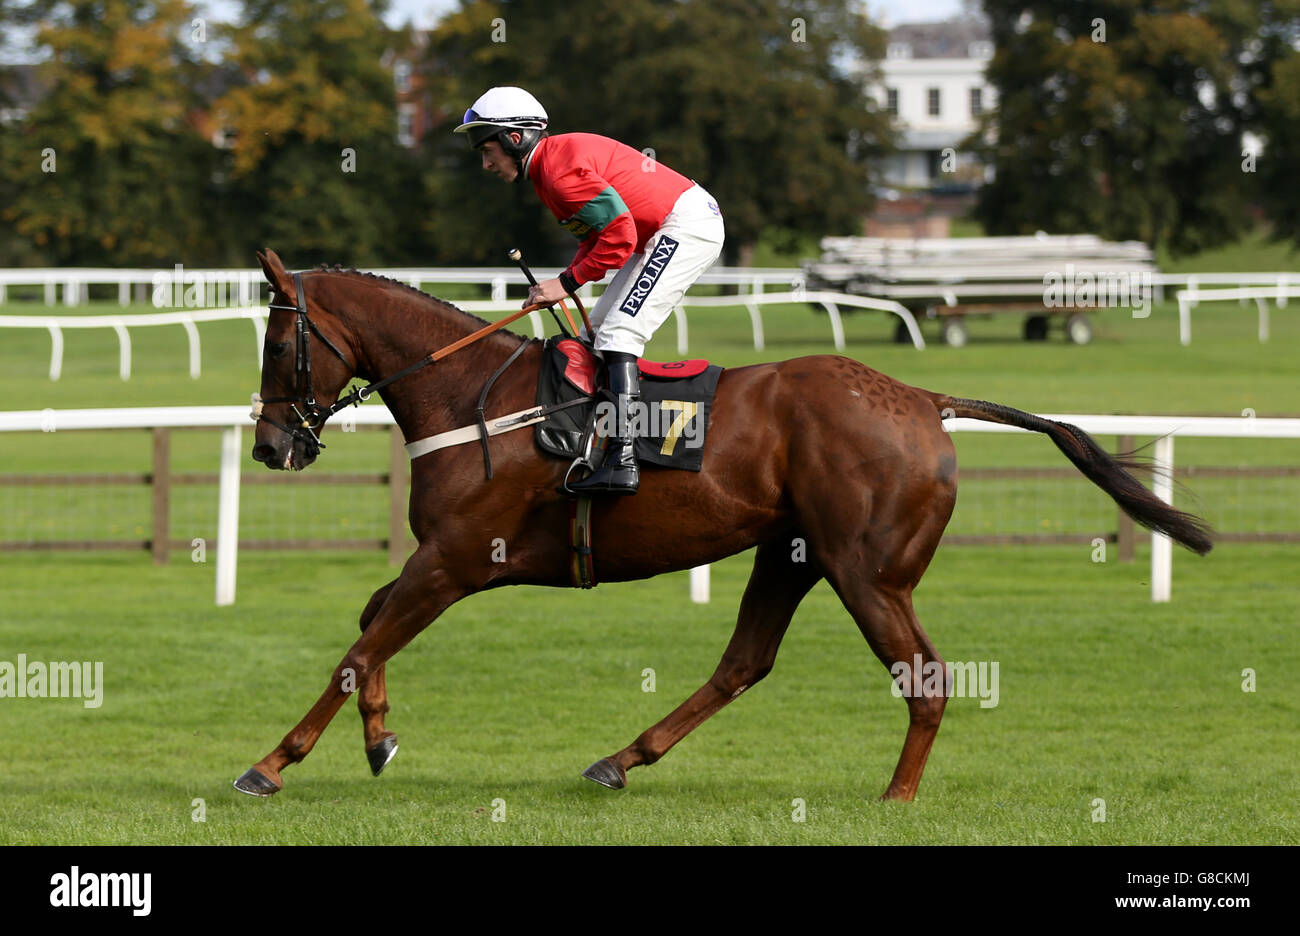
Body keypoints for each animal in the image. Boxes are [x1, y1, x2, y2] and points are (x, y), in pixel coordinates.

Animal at [235, 248, 1213, 801]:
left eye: (277, 343)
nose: (272, 445)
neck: (473, 395)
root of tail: (923, 398)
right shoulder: (443, 560)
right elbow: (370, 626)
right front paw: (378, 740)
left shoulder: (458, 559)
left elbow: (359, 647)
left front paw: (273, 762)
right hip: (792, 554)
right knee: (745, 662)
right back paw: (622, 759)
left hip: (868, 572)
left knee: (926, 678)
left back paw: (897, 797)